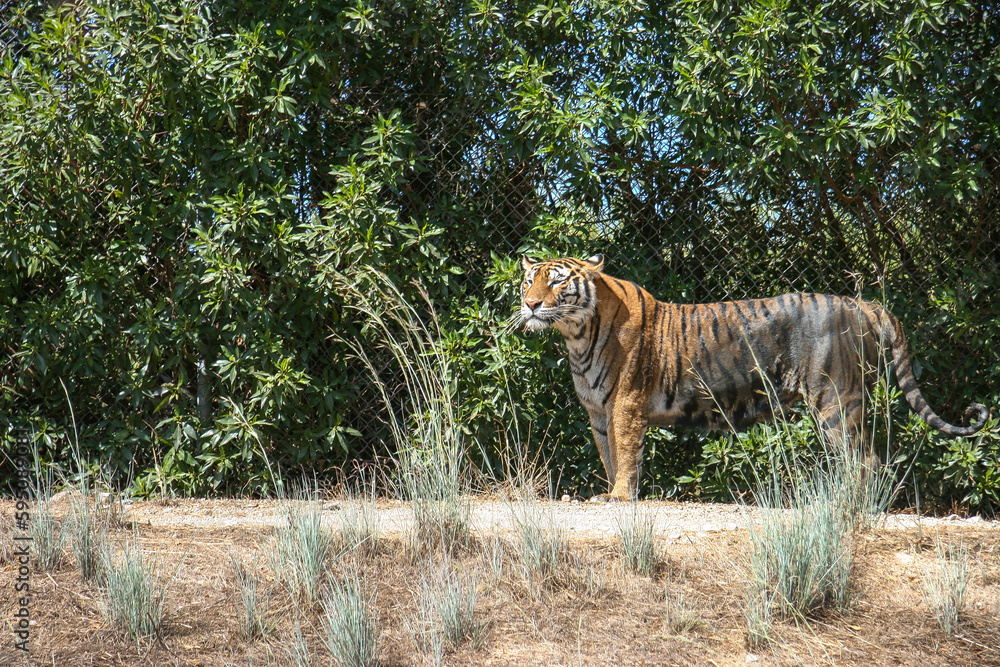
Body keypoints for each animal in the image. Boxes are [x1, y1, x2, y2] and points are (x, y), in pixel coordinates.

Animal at [520, 254, 990, 501]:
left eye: (557, 282)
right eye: (528, 281)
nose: (529, 304)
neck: (577, 336)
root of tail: (863, 304)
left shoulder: (626, 405)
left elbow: (626, 455)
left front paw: (619, 497)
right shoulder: (599, 413)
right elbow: (609, 454)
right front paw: (609, 492)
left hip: (836, 400)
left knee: (865, 461)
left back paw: (847, 506)